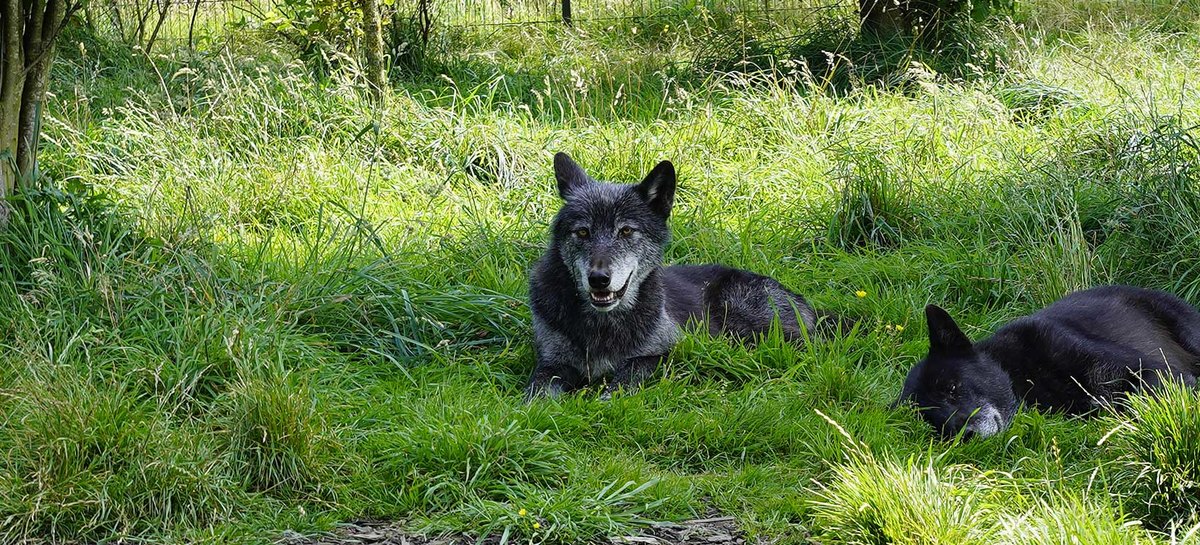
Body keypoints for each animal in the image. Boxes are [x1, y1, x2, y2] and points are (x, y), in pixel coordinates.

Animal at [525, 153, 839, 400]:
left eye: (625, 231)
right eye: (582, 232)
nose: (599, 278)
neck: (602, 324)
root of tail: (805, 304)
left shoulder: (668, 353)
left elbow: (628, 374)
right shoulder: (552, 363)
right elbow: (537, 393)